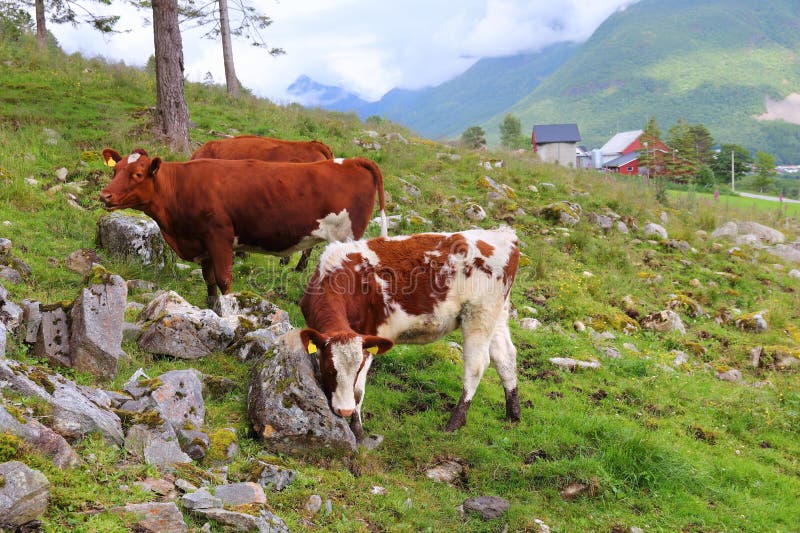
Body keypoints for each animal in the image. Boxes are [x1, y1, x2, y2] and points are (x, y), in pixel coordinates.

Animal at [299, 228, 520, 439]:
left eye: (357, 368)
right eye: (329, 368)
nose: (343, 411)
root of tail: (504, 235)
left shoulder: (368, 340)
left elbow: (358, 391)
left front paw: (357, 431)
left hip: (479, 314)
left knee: (477, 365)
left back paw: (454, 423)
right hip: (498, 314)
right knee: (505, 357)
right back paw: (513, 415)